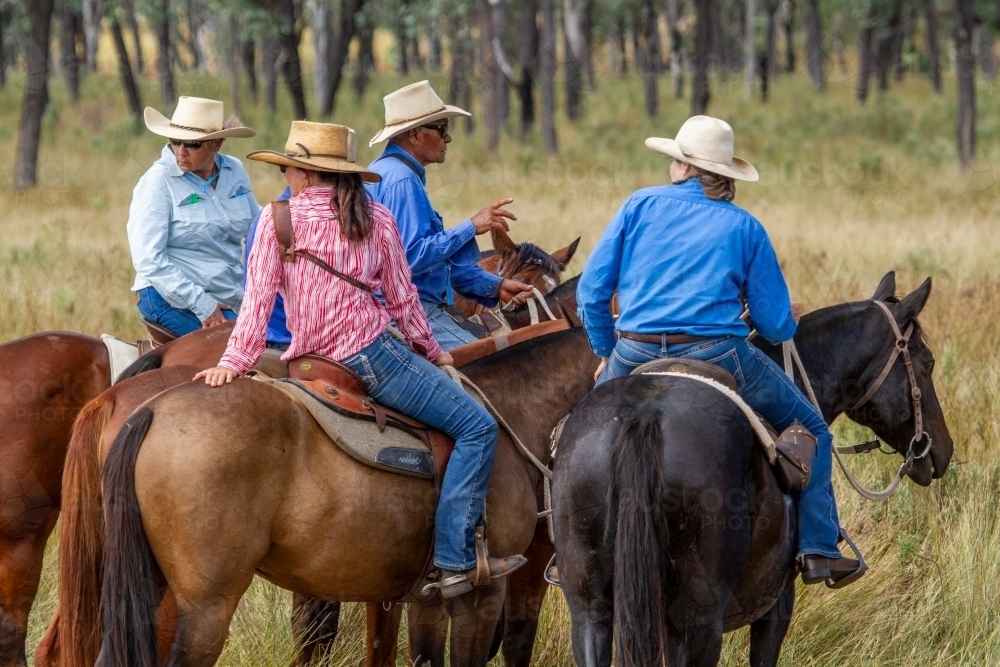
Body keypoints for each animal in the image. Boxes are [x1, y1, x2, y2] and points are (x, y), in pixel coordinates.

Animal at [553, 273, 954, 667]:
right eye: (928, 362)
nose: (943, 450)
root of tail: (645, 413)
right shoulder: (775, 603)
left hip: (592, 614)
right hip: (697, 622)